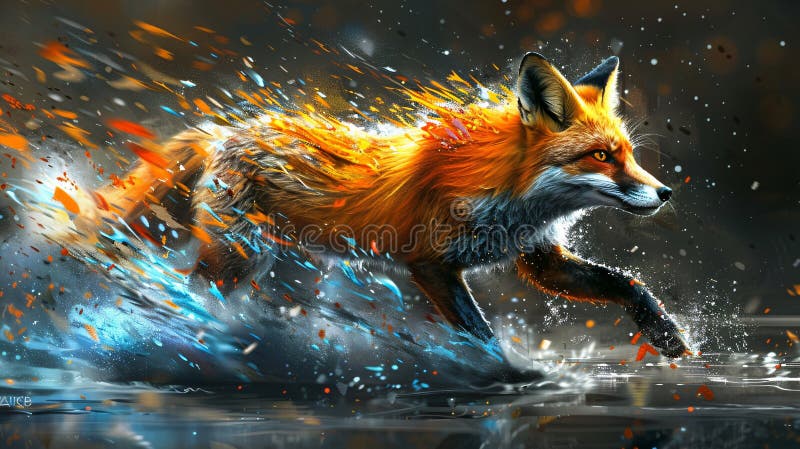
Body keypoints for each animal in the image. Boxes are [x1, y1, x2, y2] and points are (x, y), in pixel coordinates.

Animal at [64, 53, 689, 377]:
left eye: (628, 153)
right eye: (602, 156)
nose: (663, 193)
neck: (517, 196)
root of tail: (223, 132)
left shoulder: (539, 259)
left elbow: (629, 285)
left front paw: (671, 338)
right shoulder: (431, 264)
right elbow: (482, 334)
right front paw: (511, 375)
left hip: (264, 263)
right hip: (237, 257)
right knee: (194, 296)